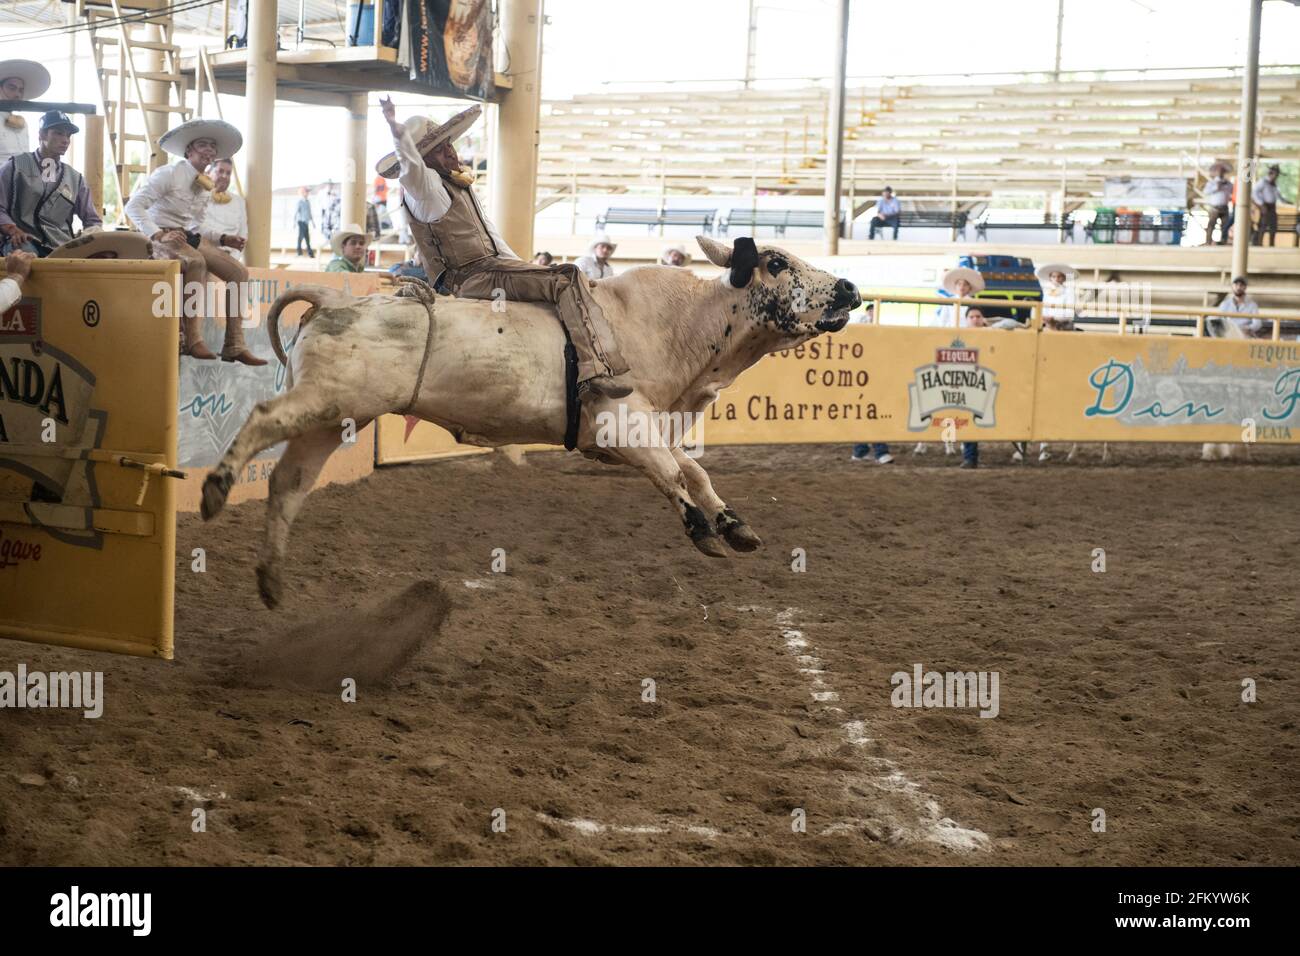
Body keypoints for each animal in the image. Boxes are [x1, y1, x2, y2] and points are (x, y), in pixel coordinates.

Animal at [200, 236, 861, 608]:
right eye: (775, 262)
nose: (852, 288)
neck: (673, 328)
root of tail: (335, 299)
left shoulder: (644, 430)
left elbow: (694, 471)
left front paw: (733, 525)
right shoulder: (621, 426)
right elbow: (673, 475)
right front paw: (702, 528)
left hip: (334, 417)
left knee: (288, 483)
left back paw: (272, 582)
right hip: (325, 399)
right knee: (262, 419)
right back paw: (214, 489)